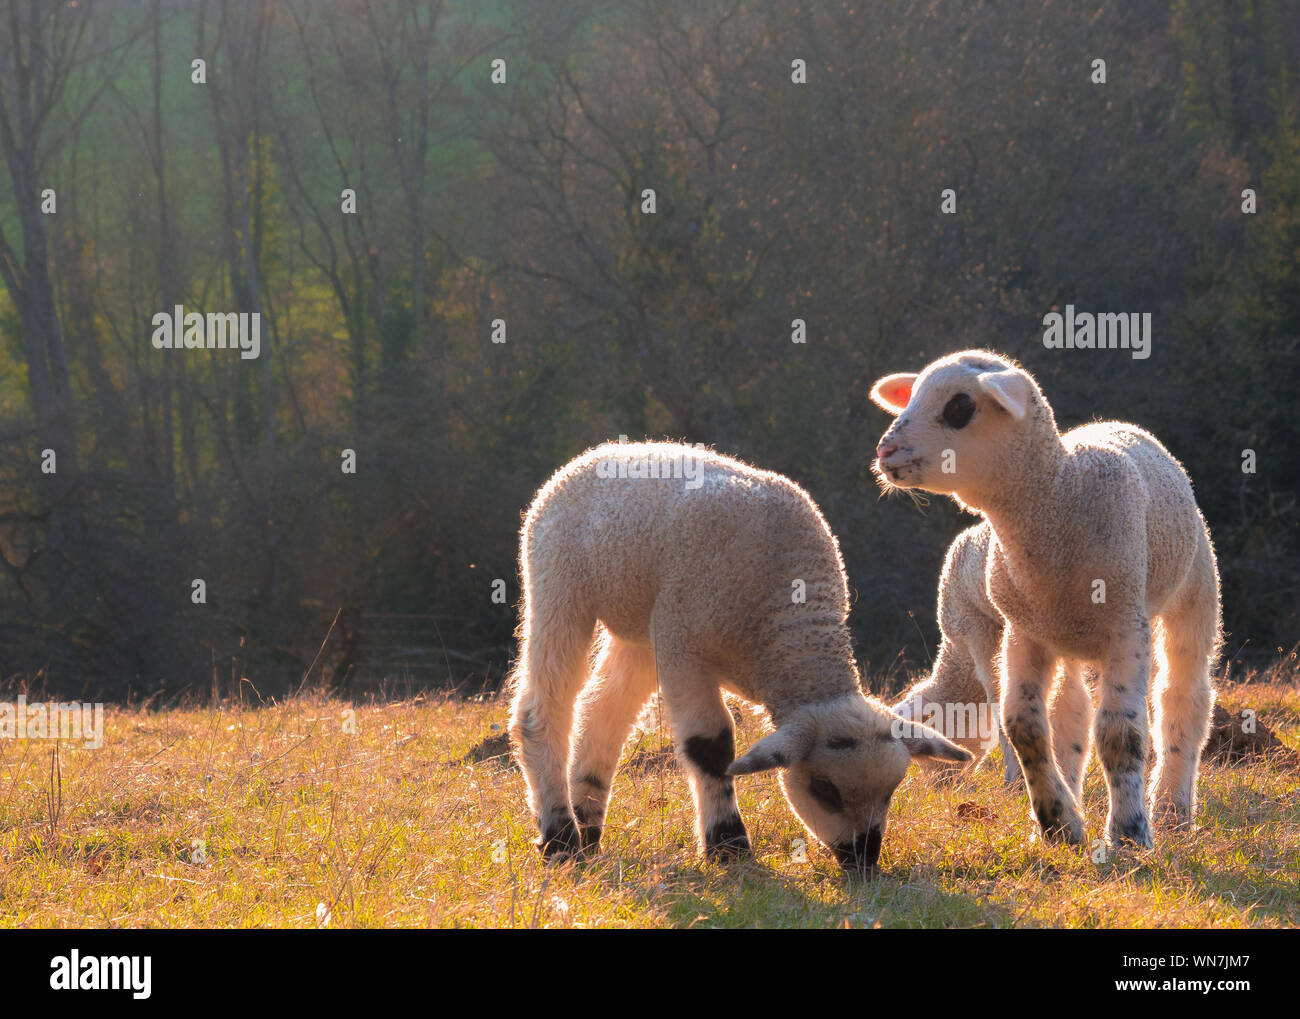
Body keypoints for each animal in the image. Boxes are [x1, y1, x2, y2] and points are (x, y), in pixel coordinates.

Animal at [507, 440, 970, 873]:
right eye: (824, 789)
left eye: (891, 792)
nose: (864, 859)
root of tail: (598, 452)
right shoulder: (684, 646)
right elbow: (710, 746)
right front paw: (728, 845)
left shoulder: (671, 635)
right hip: (558, 581)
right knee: (543, 709)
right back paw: (560, 838)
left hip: (641, 625)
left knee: (604, 711)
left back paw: (588, 830)